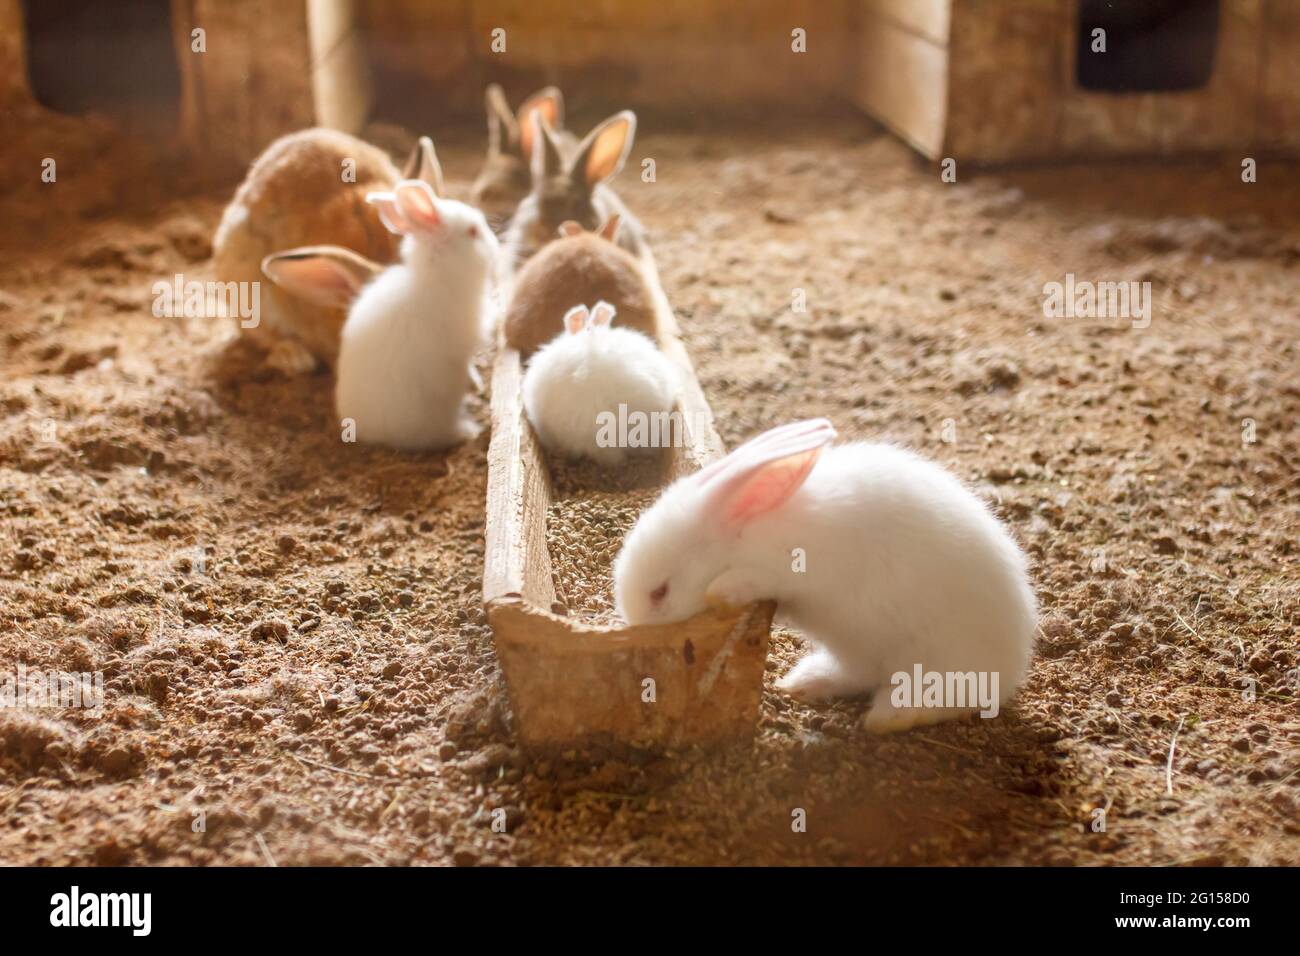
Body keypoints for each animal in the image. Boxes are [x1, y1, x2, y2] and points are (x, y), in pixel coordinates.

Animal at [262, 179, 498, 450]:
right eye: (473, 232)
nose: (495, 244)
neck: (433, 274)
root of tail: (375, 435)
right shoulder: (463, 347)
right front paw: (475, 386)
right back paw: (467, 431)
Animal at [612, 418, 1038, 734]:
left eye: (659, 592)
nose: (637, 624)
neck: (743, 534)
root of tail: (1012, 665)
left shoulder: (783, 568)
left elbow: (749, 580)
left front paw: (720, 593)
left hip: (935, 664)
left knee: (943, 698)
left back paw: (887, 717)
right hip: (854, 646)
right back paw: (803, 682)